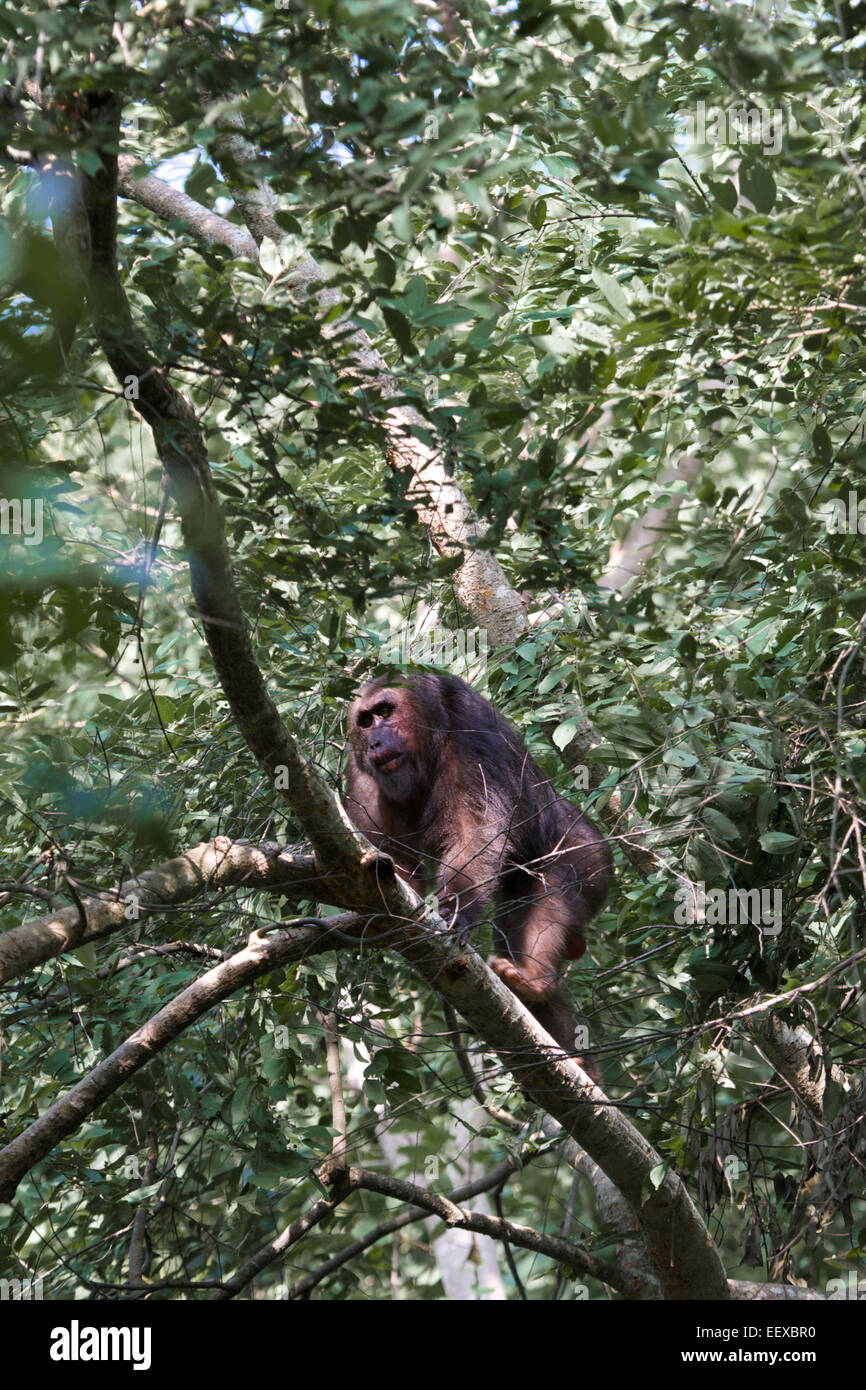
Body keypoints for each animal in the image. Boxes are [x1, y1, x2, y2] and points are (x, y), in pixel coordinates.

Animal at [344, 672, 612, 1071]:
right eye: (365, 720)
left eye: (386, 711)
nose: (375, 738)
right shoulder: (361, 775)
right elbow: (392, 862)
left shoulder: (474, 737)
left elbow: (477, 832)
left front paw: (457, 913)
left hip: (589, 856)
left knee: (553, 899)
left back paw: (534, 980)